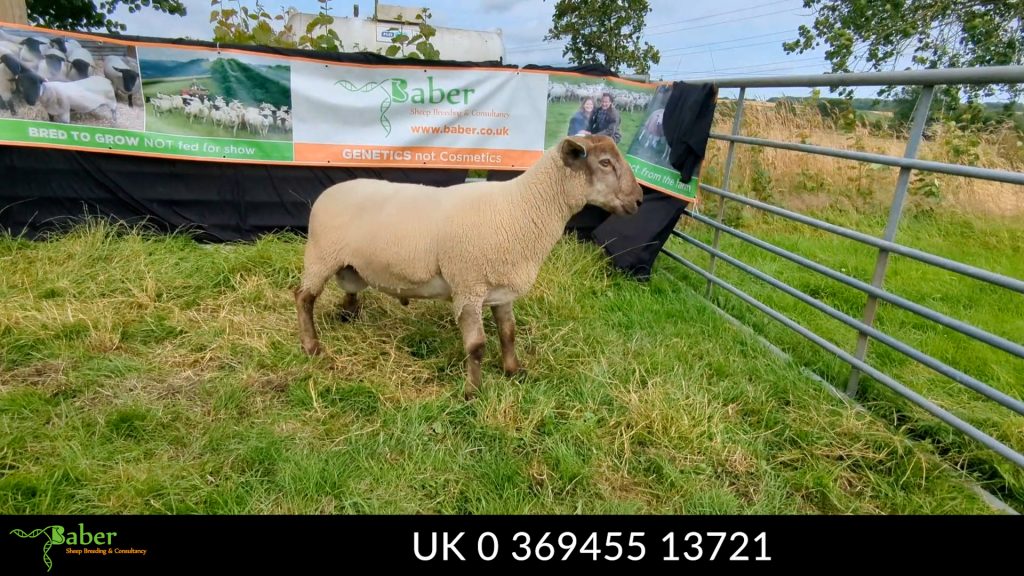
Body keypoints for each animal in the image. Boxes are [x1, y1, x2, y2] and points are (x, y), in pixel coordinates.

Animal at [294, 134, 644, 399]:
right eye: (605, 163)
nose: (639, 200)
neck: (521, 208)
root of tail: (328, 192)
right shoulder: (468, 287)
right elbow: (476, 346)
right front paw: (472, 393)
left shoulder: (502, 290)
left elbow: (508, 333)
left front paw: (514, 371)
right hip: (319, 256)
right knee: (303, 298)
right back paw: (312, 346)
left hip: (348, 263)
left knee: (349, 287)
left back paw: (348, 315)